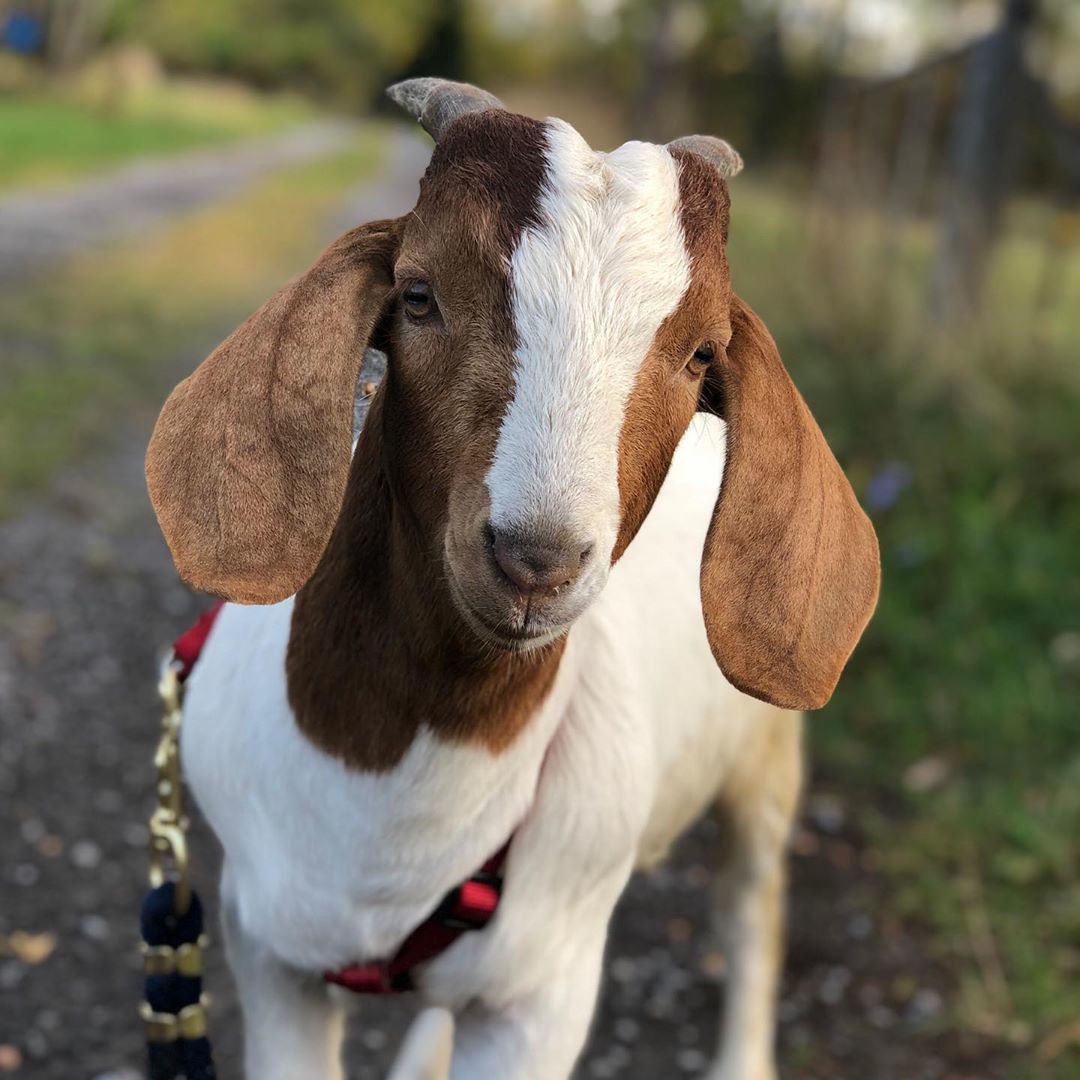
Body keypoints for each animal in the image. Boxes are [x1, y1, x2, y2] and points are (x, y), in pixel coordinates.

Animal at [145, 78, 880, 1080]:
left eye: (701, 355)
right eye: (418, 296)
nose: (536, 559)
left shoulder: (543, 996)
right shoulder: (267, 950)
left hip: (762, 763)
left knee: (750, 904)